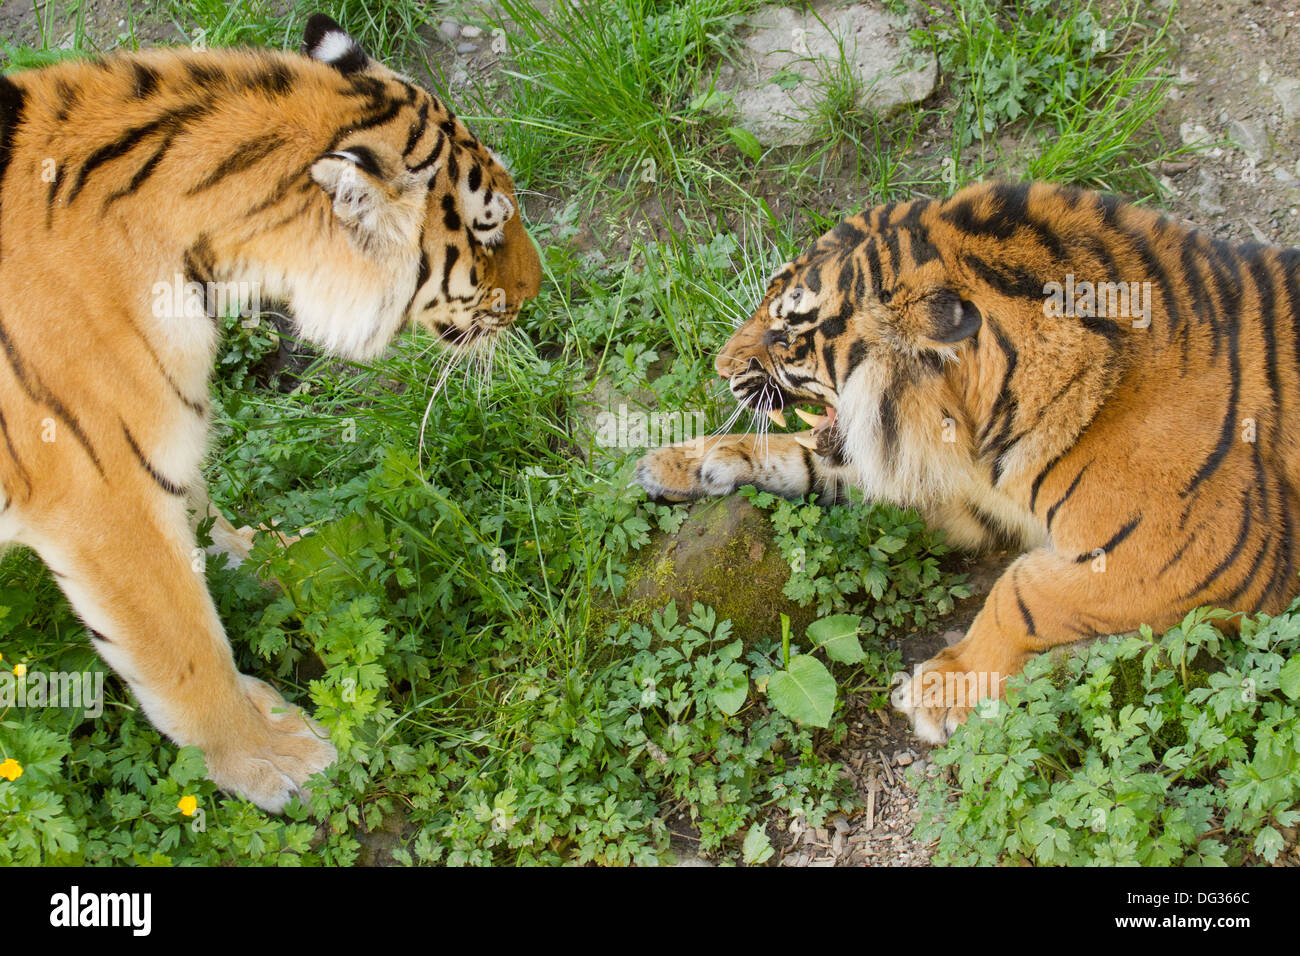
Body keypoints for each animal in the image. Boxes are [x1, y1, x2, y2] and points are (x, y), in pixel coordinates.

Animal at [0, 14, 541, 812]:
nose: (537, 290)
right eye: (487, 229)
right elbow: (184, 650)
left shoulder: (153, 445)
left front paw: (278, 559)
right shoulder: (103, 501)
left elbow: (205, 524)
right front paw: (271, 756)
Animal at [636, 180, 1300, 745]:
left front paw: (940, 690)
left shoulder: (1205, 559)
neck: (983, 428)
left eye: (787, 333)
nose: (720, 366)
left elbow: (1023, 594)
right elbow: (811, 458)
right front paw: (685, 460)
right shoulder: (960, 486)